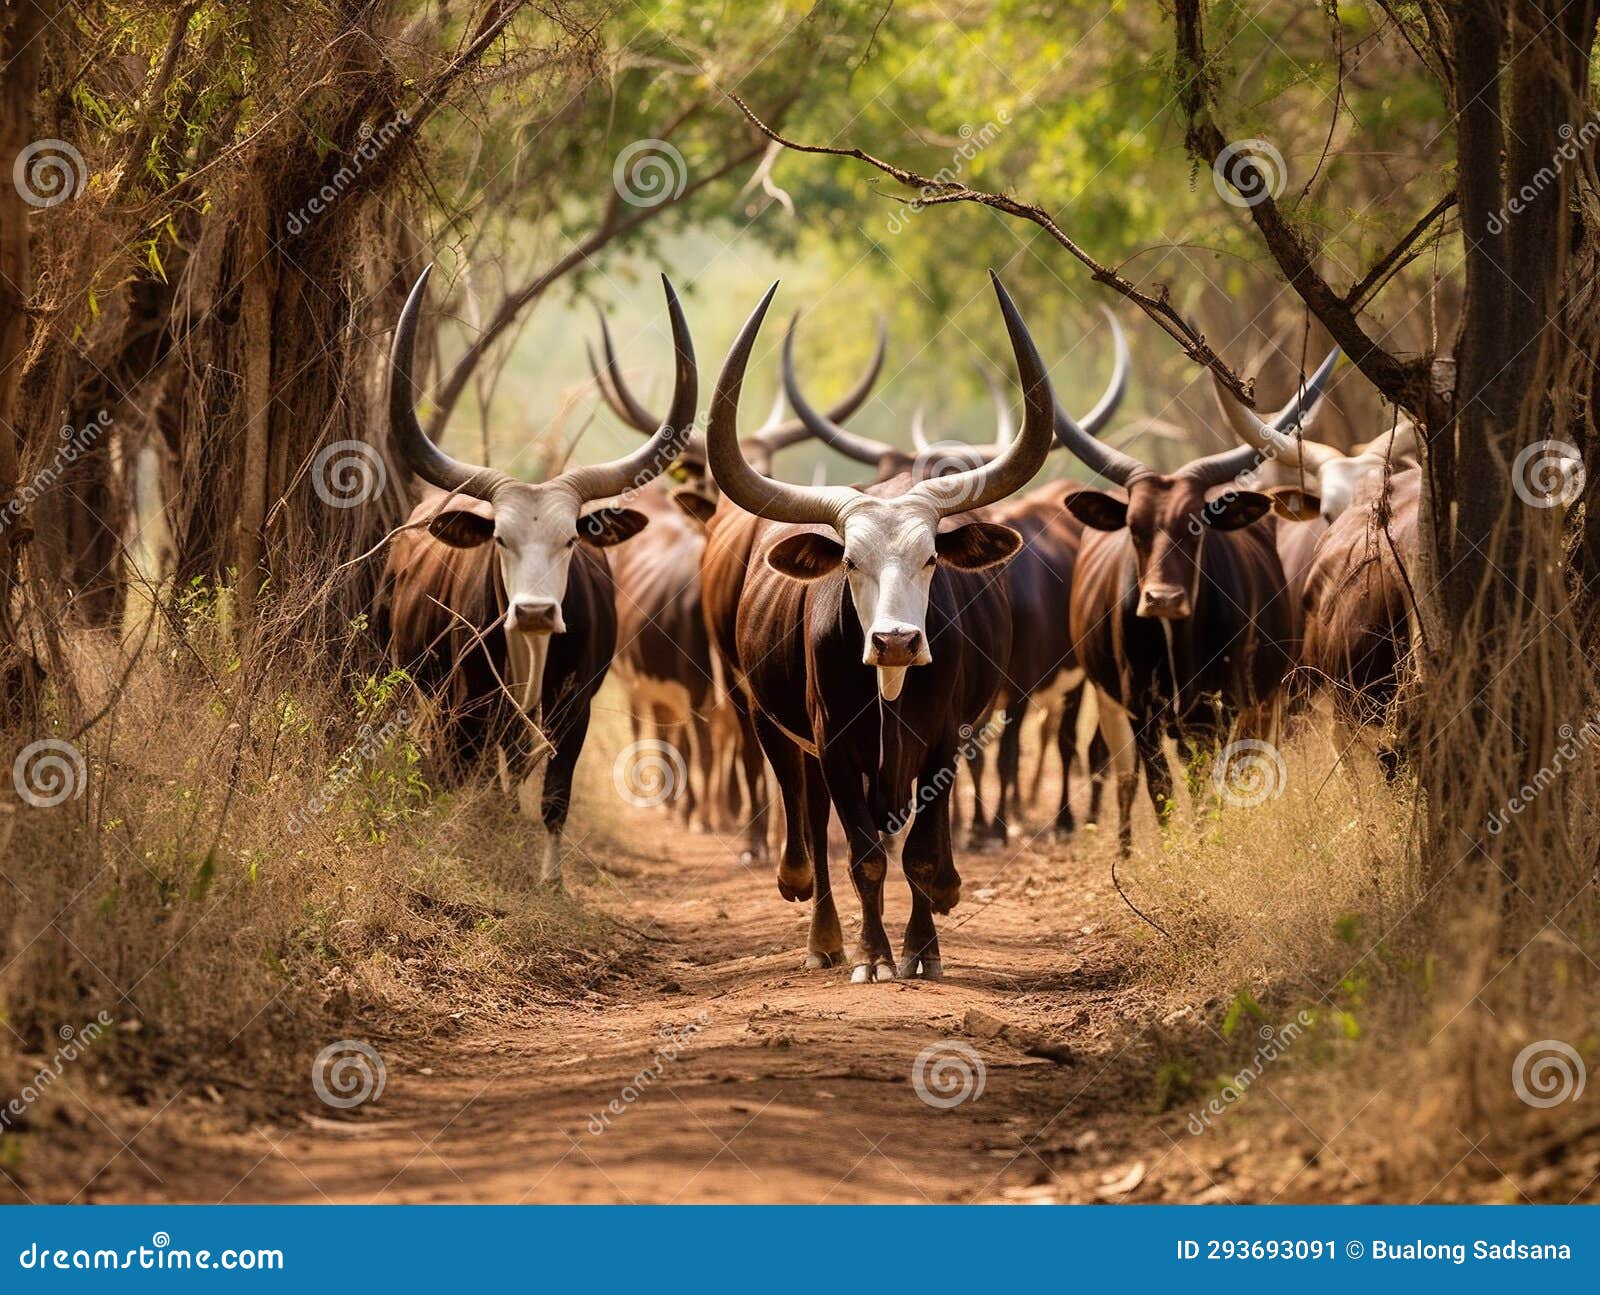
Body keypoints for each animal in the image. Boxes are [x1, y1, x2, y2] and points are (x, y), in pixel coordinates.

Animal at [378, 265, 696, 888]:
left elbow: (554, 795)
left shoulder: (576, 707)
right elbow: (468, 777)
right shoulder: (467, 704)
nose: (533, 611)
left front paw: (550, 877)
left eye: (570, 538)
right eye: (500, 539)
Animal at [706, 272, 1056, 981]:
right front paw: (873, 956)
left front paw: (924, 947)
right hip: (776, 727)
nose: (895, 640)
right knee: (811, 828)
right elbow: (863, 855)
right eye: (848, 560)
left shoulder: (944, 740)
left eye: (931, 559)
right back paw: (822, 934)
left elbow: (919, 854)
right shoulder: (833, 745)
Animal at [1054, 356, 1333, 856]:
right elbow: (1158, 786)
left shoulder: (1222, 708)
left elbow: (1212, 784)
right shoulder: (1139, 708)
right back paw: (1124, 848)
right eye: (1134, 527)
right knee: (1121, 772)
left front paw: (1212, 841)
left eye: (1196, 525)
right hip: (1110, 700)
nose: (1162, 599)